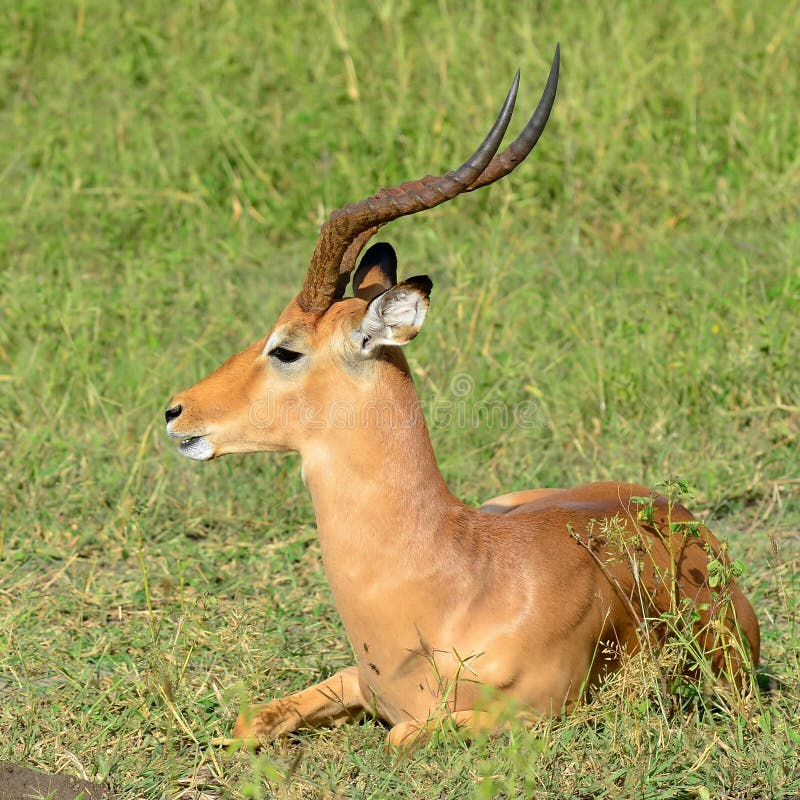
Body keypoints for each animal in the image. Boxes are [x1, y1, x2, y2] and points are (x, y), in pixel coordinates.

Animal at [164, 46, 759, 747]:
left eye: (285, 349)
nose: (176, 411)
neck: (458, 584)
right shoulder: (358, 682)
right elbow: (250, 718)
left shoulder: (527, 716)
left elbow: (397, 738)